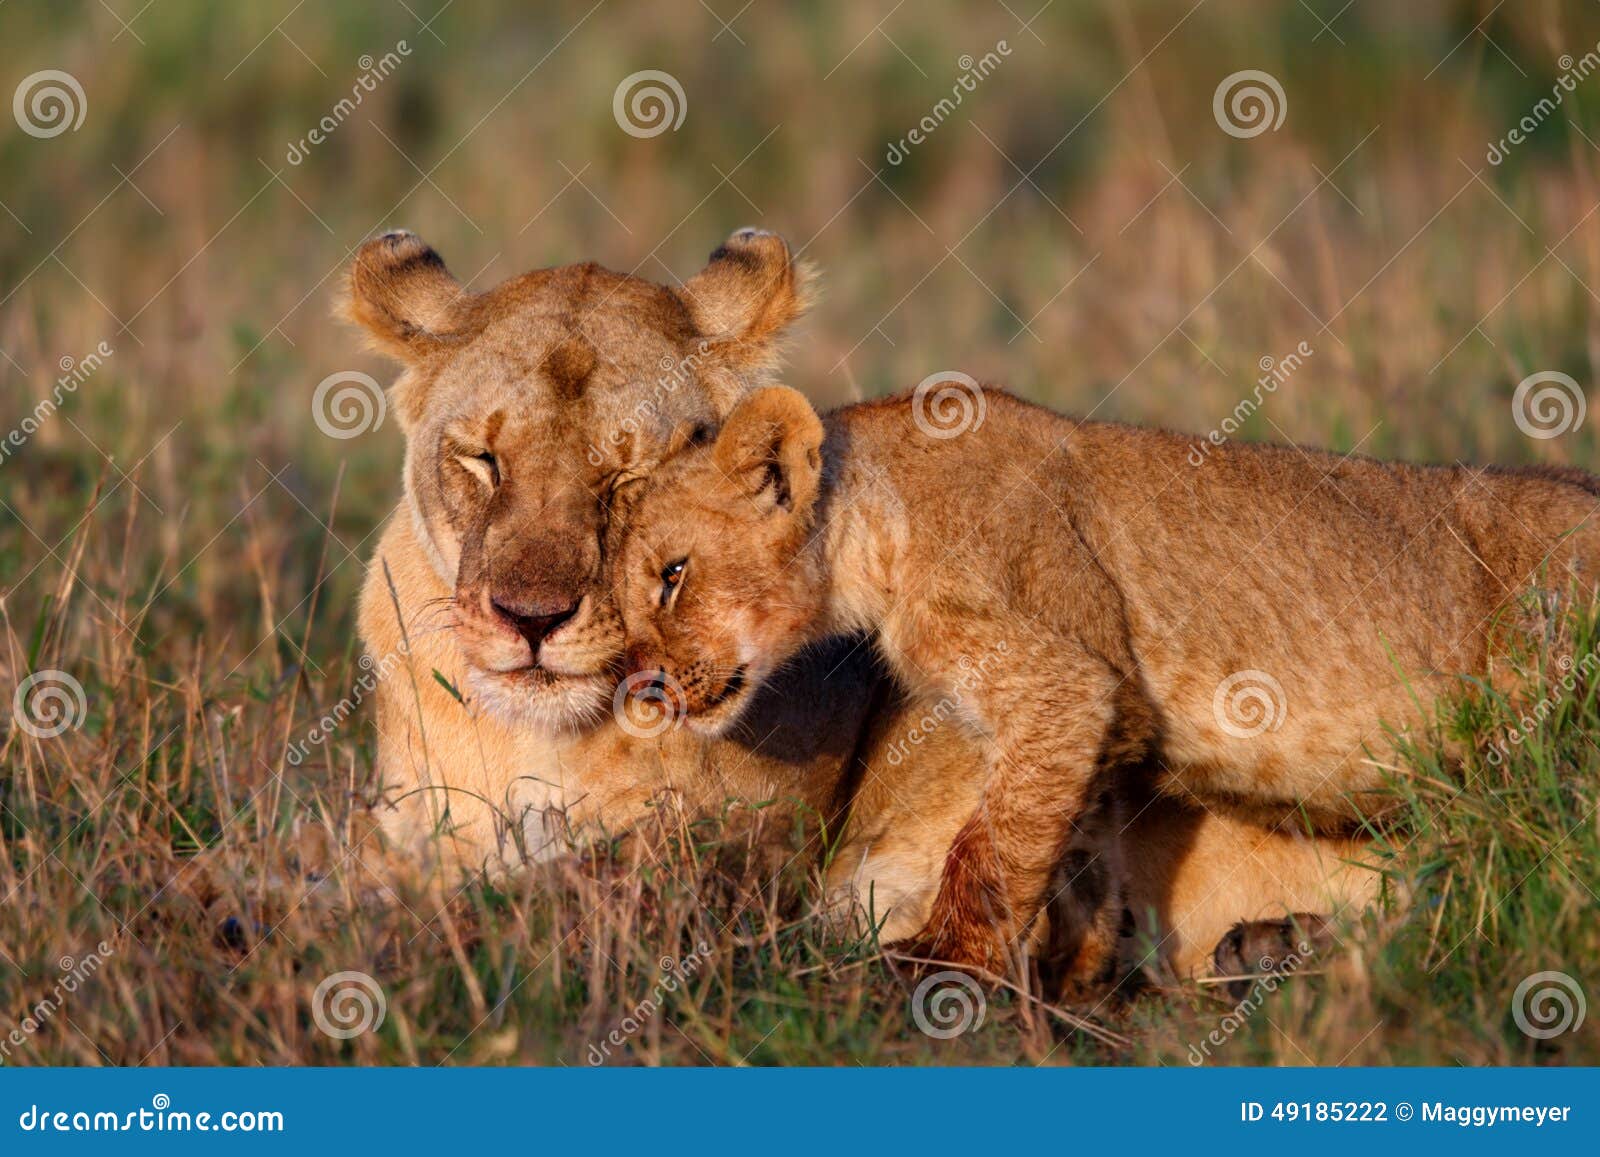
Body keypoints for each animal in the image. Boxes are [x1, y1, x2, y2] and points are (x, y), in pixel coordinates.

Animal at [345, 228, 1382, 986]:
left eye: (630, 475)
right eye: (482, 458)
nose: (532, 618)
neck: (540, 736)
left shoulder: (745, 847)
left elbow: (577, 884)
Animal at [613, 382, 1600, 979]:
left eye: (672, 574)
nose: (646, 687)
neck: (875, 532)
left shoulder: (1066, 679)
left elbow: (987, 845)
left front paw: (940, 964)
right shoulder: (1108, 720)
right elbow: (1064, 847)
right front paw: (1076, 967)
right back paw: (1274, 945)